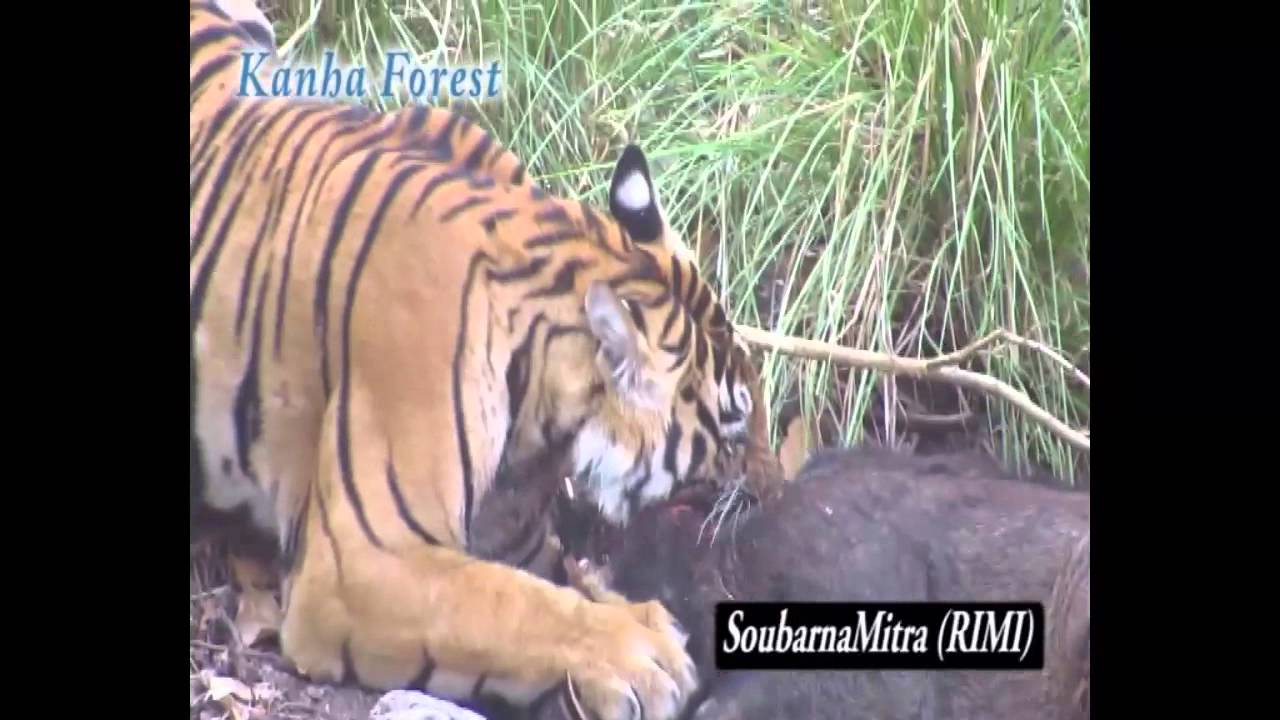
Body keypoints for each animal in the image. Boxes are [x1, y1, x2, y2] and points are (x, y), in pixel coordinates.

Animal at [189, 2, 770, 719]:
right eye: (734, 423)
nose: (777, 491)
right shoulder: (362, 559)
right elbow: (512, 604)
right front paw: (643, 651)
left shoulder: (516, 534)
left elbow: (551, 581)